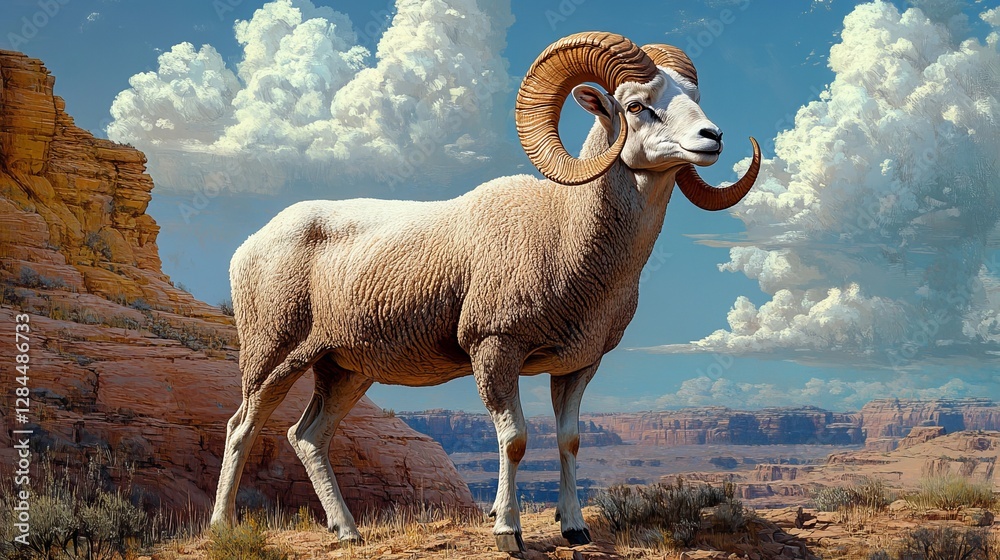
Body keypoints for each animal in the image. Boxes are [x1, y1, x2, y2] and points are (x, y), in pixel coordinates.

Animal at [210, 31, 760, 553]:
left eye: (693, 96)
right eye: (636, 106)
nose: (712, 138)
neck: (565, 232)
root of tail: (247, 247)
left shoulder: (577, 366)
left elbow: (569, 441)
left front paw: (574, 529)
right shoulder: (495, 350)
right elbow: (515, 439)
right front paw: (507, 532)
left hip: (343, 371)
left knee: (307, 437)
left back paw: (348, 532)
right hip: (273, 358)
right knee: (241, 427)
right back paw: (221, 527)